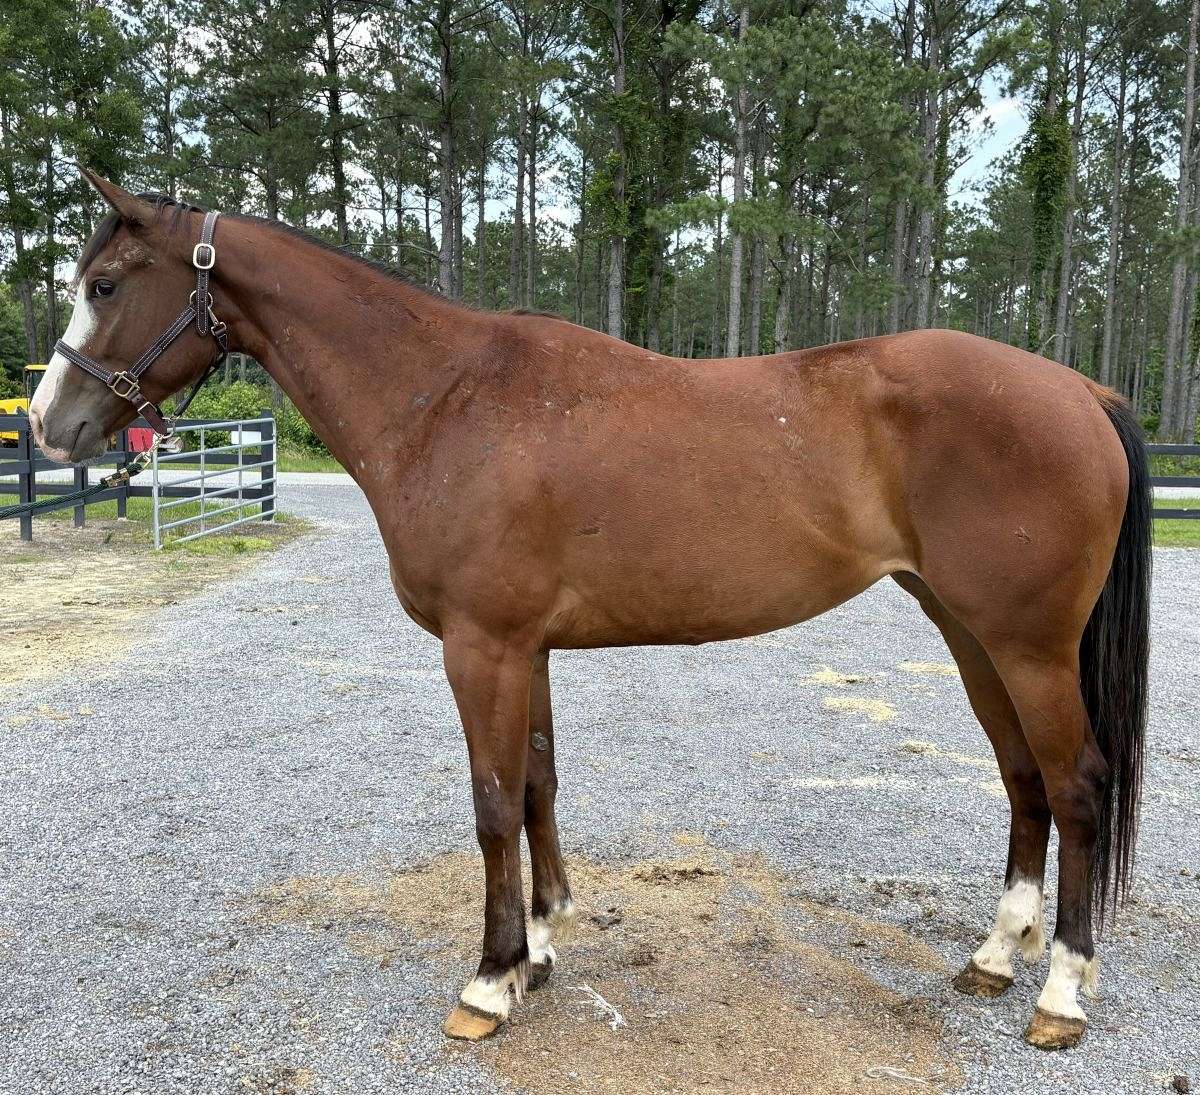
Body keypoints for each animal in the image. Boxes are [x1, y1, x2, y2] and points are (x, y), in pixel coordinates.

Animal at [30, 169, 1150, 1052]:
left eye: (104, 284)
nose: (48, 424)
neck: (445, 399)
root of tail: (1080, 391)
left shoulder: (480, 649)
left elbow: (490, 803)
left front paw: (488, 982)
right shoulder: (526, 650)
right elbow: (537, 785)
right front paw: (540, 946)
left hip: (1028, 646)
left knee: (1077, 786)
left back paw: (1060, 993)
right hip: (972, 634)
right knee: (1023, 779)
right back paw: (995, 956)